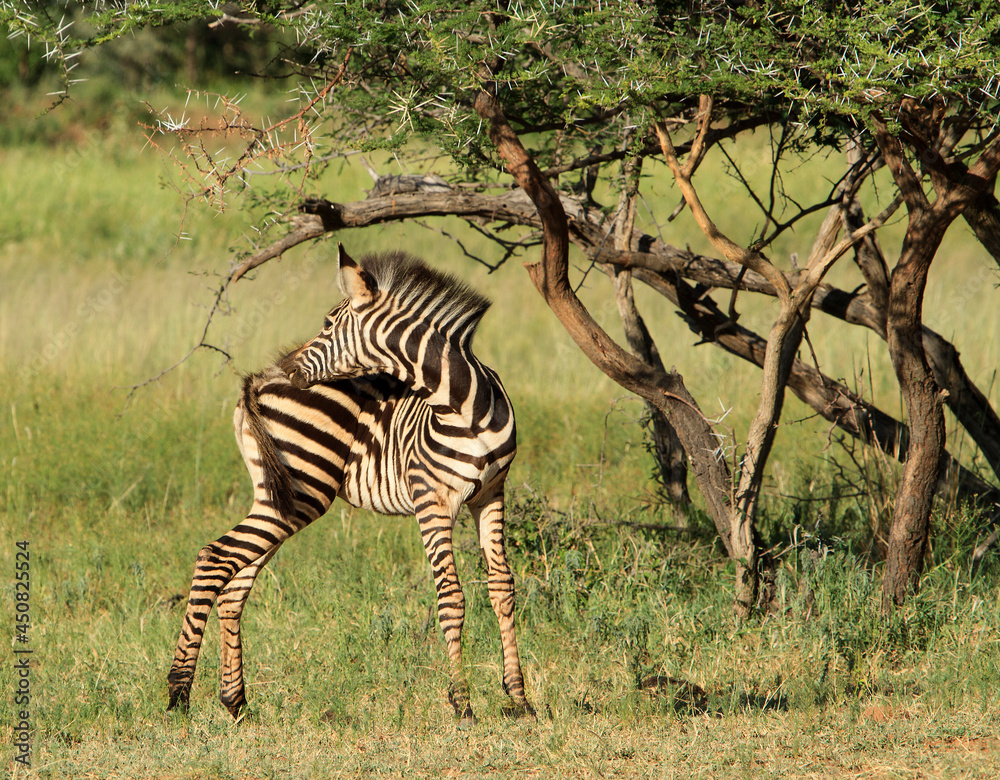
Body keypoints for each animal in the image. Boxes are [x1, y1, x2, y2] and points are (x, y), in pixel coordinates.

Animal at [167, 245, 533, 726]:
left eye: (327, 324)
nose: (289, 367)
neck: (464, 407)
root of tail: (259, 379)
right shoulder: (432, 500)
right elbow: (451, 597)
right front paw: (462, 705)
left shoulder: (492, 493)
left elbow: (502, 588)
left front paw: (519, 699)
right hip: (306, 487)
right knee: (214, 558)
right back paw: (178, 695)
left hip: (282, 497)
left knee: (234, 580)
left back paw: (236, 701)